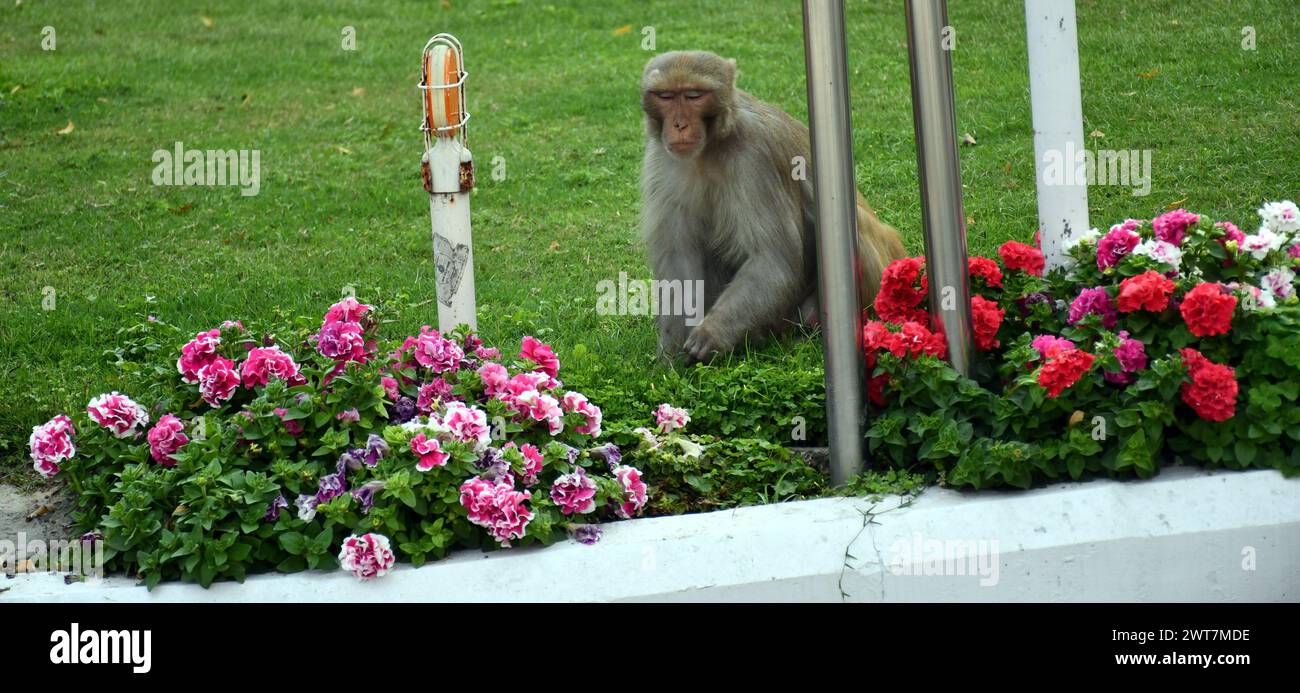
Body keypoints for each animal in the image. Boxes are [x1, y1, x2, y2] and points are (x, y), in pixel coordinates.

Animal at [639, 50, 906, 363]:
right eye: (665, 96)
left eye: (694, 95)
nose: (679, 125)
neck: (710, 147)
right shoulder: (661, 158)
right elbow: (679, 261)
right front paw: (670, 356)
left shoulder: (755, 153)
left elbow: (774, 260)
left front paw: (710, 334)